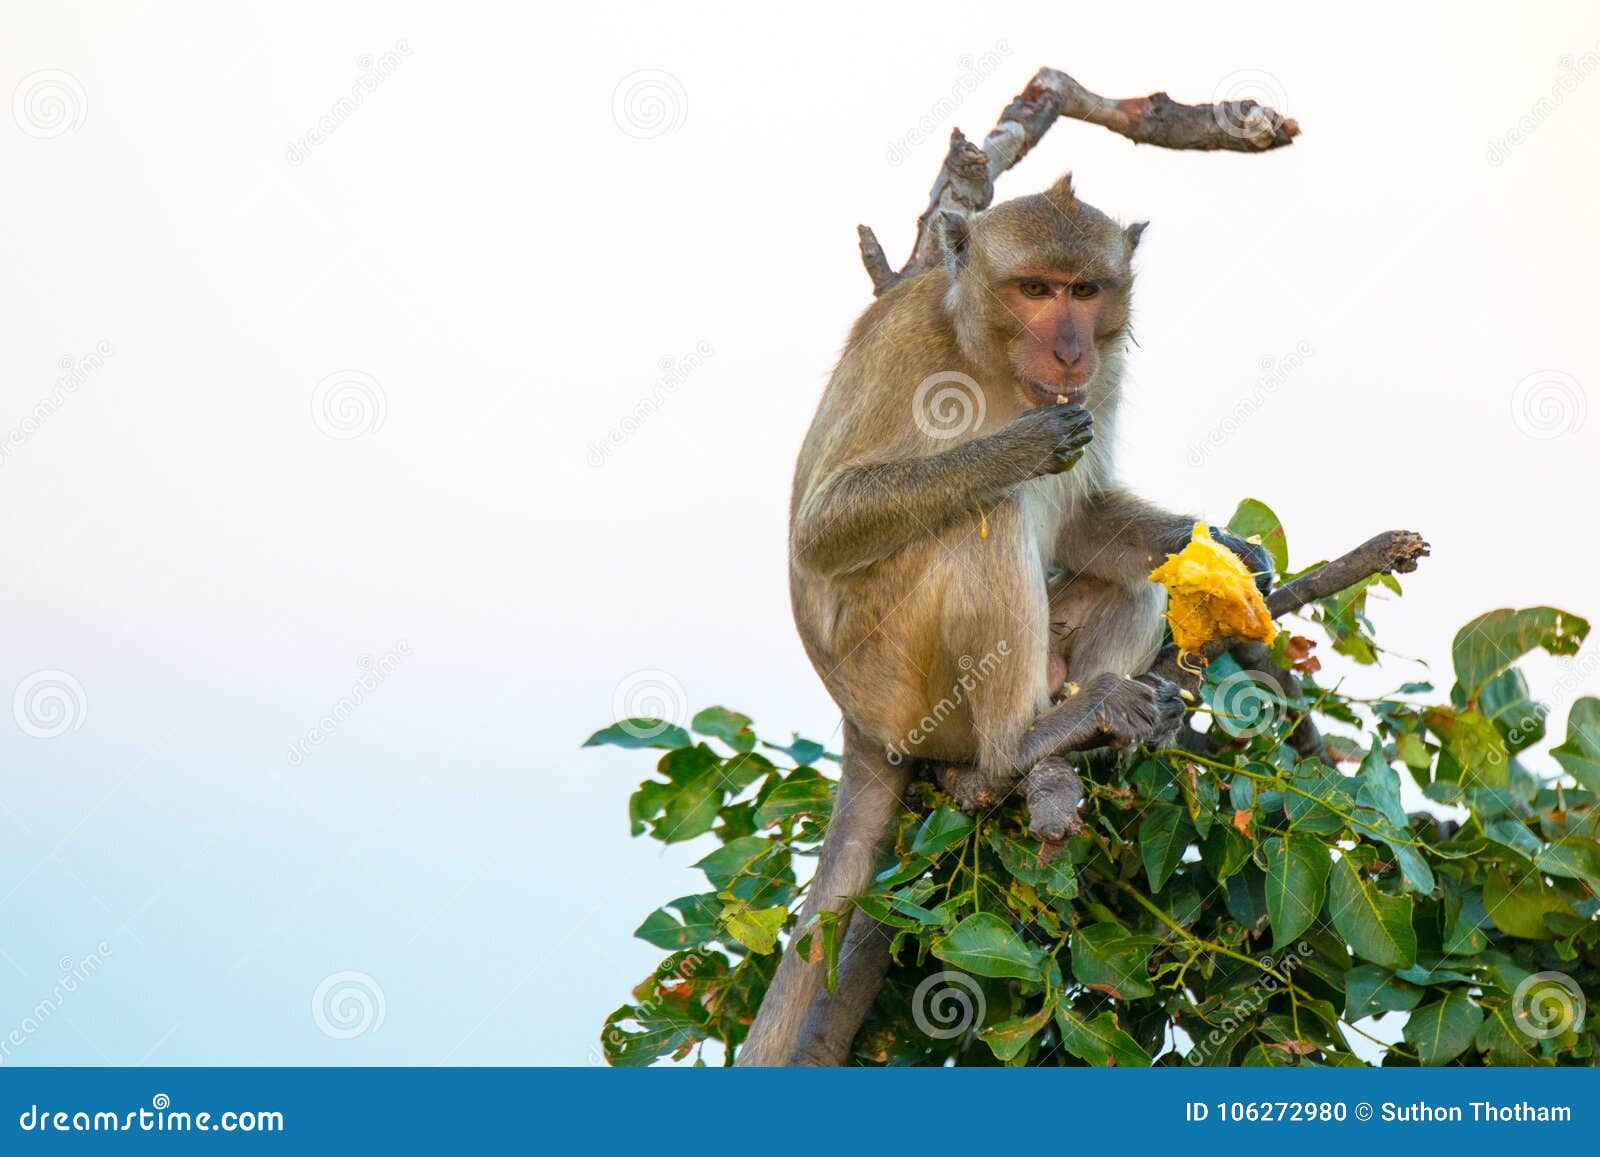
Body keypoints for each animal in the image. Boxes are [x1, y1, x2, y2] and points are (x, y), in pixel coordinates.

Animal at [736, 174, 1271, 1066]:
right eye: (1035, 289)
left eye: (1084, 291)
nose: (1070, 352)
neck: (986, 353)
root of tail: (858, 722)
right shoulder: (907, 348)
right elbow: (823, 527)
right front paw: (1014, 449)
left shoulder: (1105, 376)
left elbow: (1087, 518)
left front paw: (1223, 548)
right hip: (902, 688)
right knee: (979, 519)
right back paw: (1018, 746)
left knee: (1134, 585)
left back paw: (1088, 727)